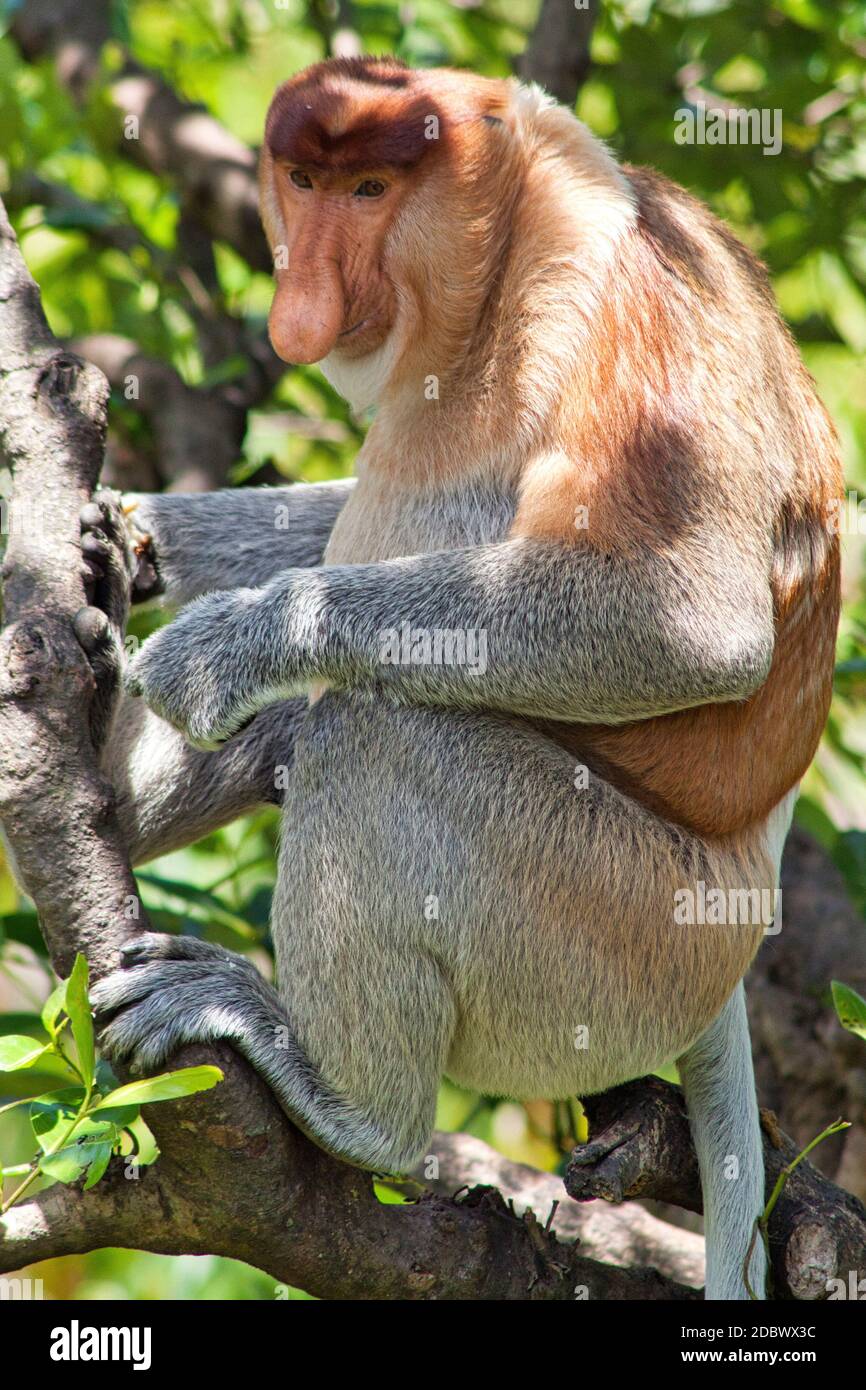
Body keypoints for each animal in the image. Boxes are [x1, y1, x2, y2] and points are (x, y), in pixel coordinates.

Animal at [82, 57, 843, 1301]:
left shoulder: (615, 296)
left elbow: (689, 622)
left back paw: (340, 1095)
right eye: (303, 182)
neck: (506, 247)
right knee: (315, 717)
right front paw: (127, 537)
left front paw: (221, 643)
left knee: (377, 730)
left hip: (619, 937)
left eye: (374, 189)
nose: (301, 296)